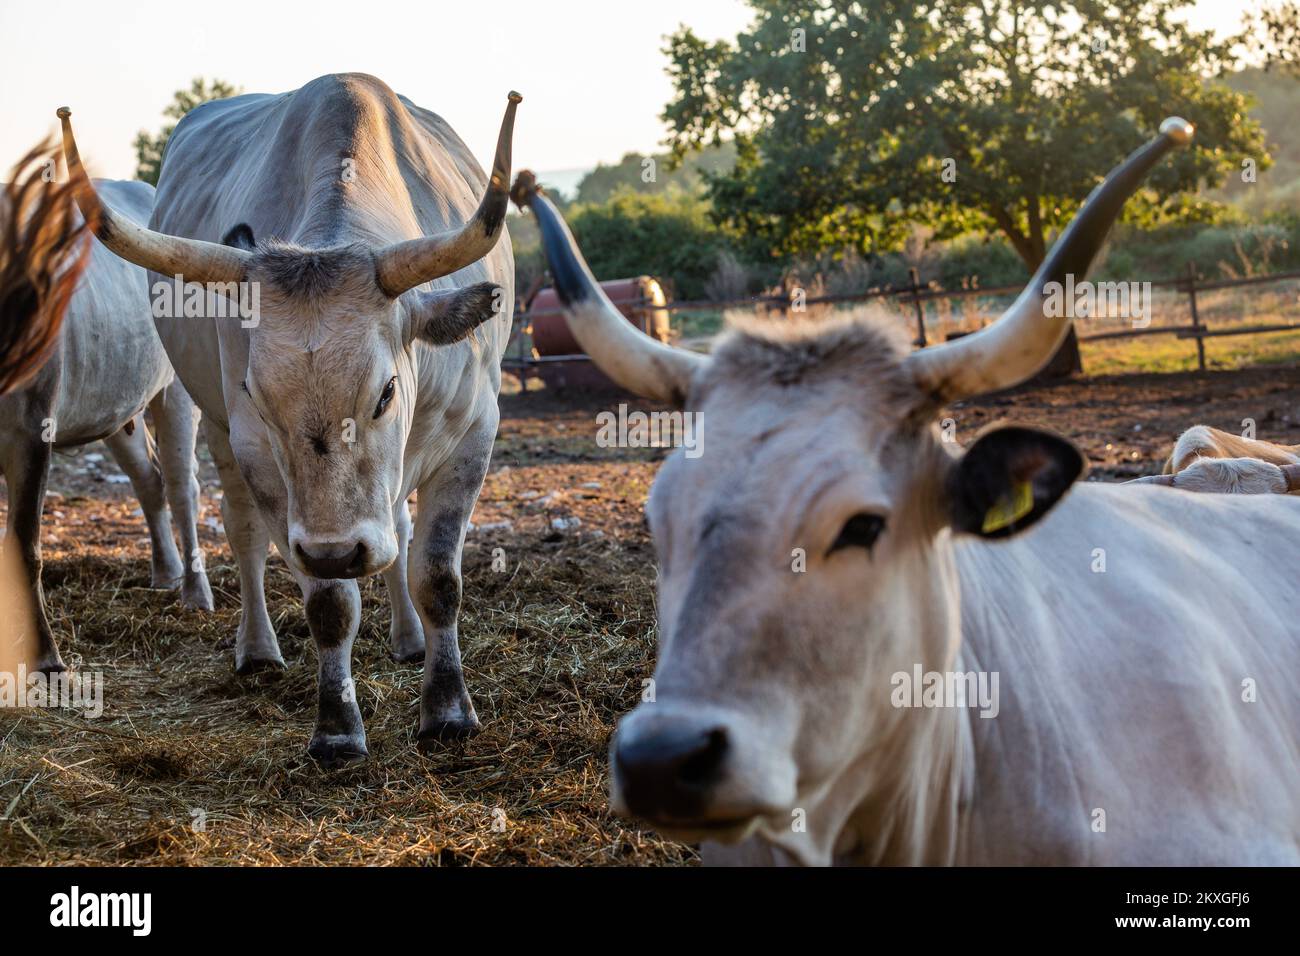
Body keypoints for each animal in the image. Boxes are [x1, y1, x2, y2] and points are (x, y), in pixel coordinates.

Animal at [1, 174, 212, 675]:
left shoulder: (30, 427)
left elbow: (24, 545)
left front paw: (46, 656)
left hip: (175, 390)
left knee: (183, 487)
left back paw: (195, 592)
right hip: (118, 410)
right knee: (148, 480)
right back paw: (165, 573)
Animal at [58, 74, 519, 764]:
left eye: (386, 392)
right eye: (259, 395)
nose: (339, 548)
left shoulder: (472, 436)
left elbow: (437, 576)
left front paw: (447, 711)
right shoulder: (259, 454)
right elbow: (327, 600)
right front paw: (337, 726)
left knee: (399, 529)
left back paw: (408, 639)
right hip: (214, 430)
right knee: (240, 529)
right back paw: (257, 650)